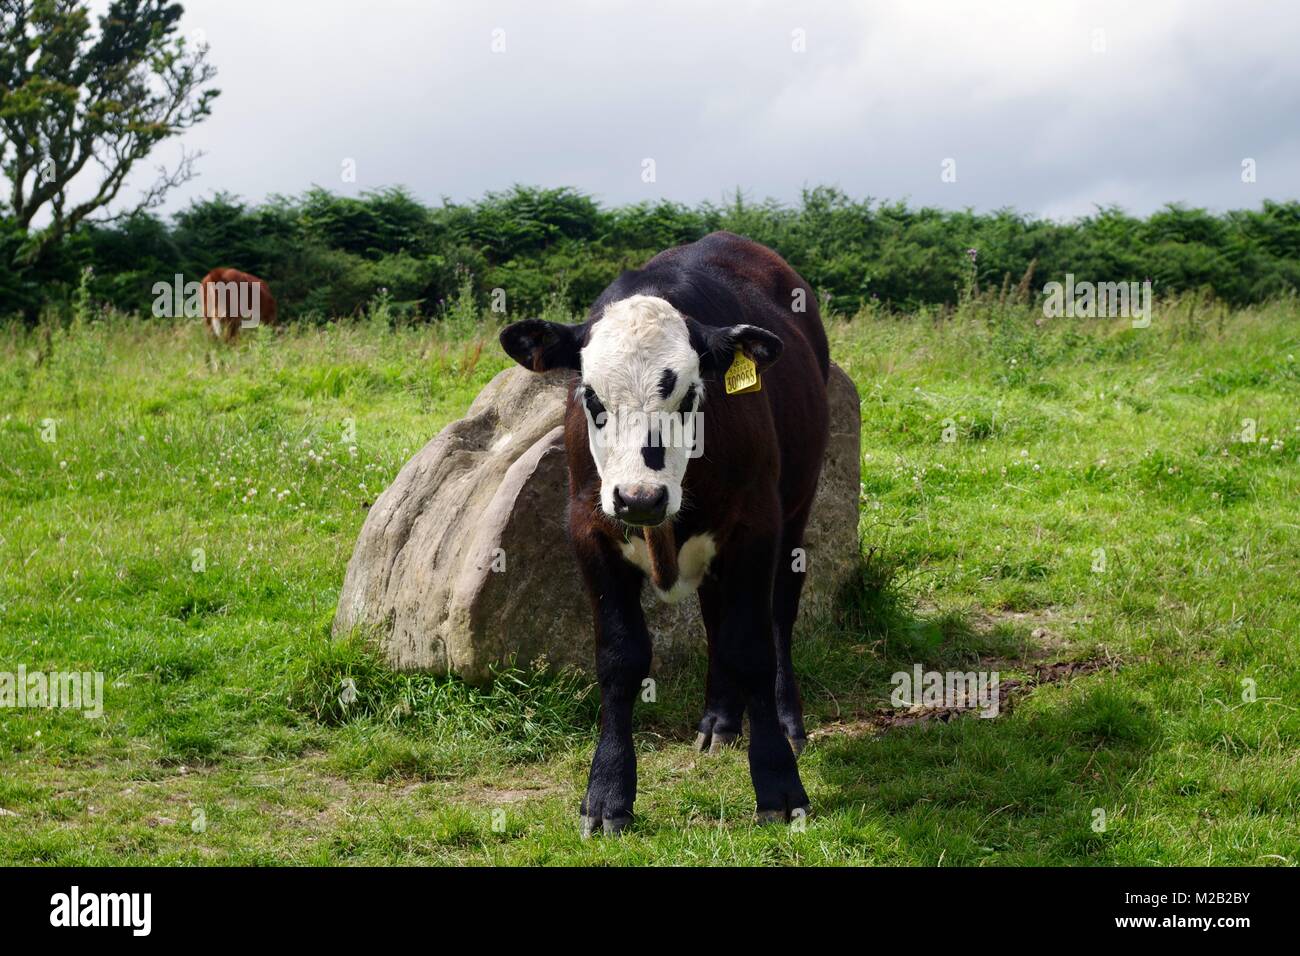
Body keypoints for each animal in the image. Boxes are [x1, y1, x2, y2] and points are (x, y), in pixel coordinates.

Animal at [499, 231, 830, 834]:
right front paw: (607, 793)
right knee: (714, 615)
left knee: (779, 614)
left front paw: (778, 783)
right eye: (591, 397)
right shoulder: (588, 527)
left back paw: (787, 720)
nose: (639, 498)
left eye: (691, 395)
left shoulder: (758, 524)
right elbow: (620, 656)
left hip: (797, 508)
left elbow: (752, 646)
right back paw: (720, 719)